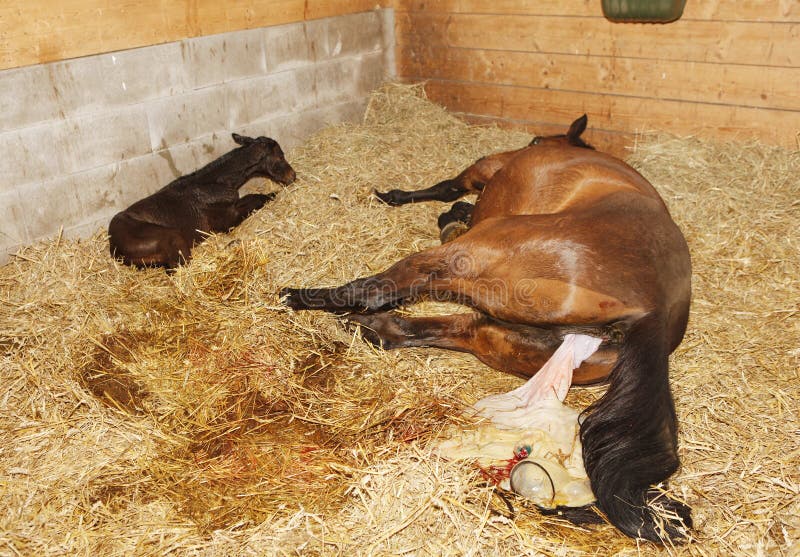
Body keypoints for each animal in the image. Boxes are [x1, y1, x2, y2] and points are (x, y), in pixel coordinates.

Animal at [109, 134, 296, 269]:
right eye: (280, 156)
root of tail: (114, 246)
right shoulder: (227, 219)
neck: (214, 182)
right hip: (171, 237)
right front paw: (275, 193)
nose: (293, 176)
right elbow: (258, 198)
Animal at [280, 115, 692, 542]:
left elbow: (448, 186)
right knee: (435, 327)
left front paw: (401, 197)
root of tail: (652, 311)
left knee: (381, 289)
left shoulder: (481, 173)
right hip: (502, 339)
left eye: (535, 140)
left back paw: (302, 297)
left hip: (466, 261)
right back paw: (371, 327)